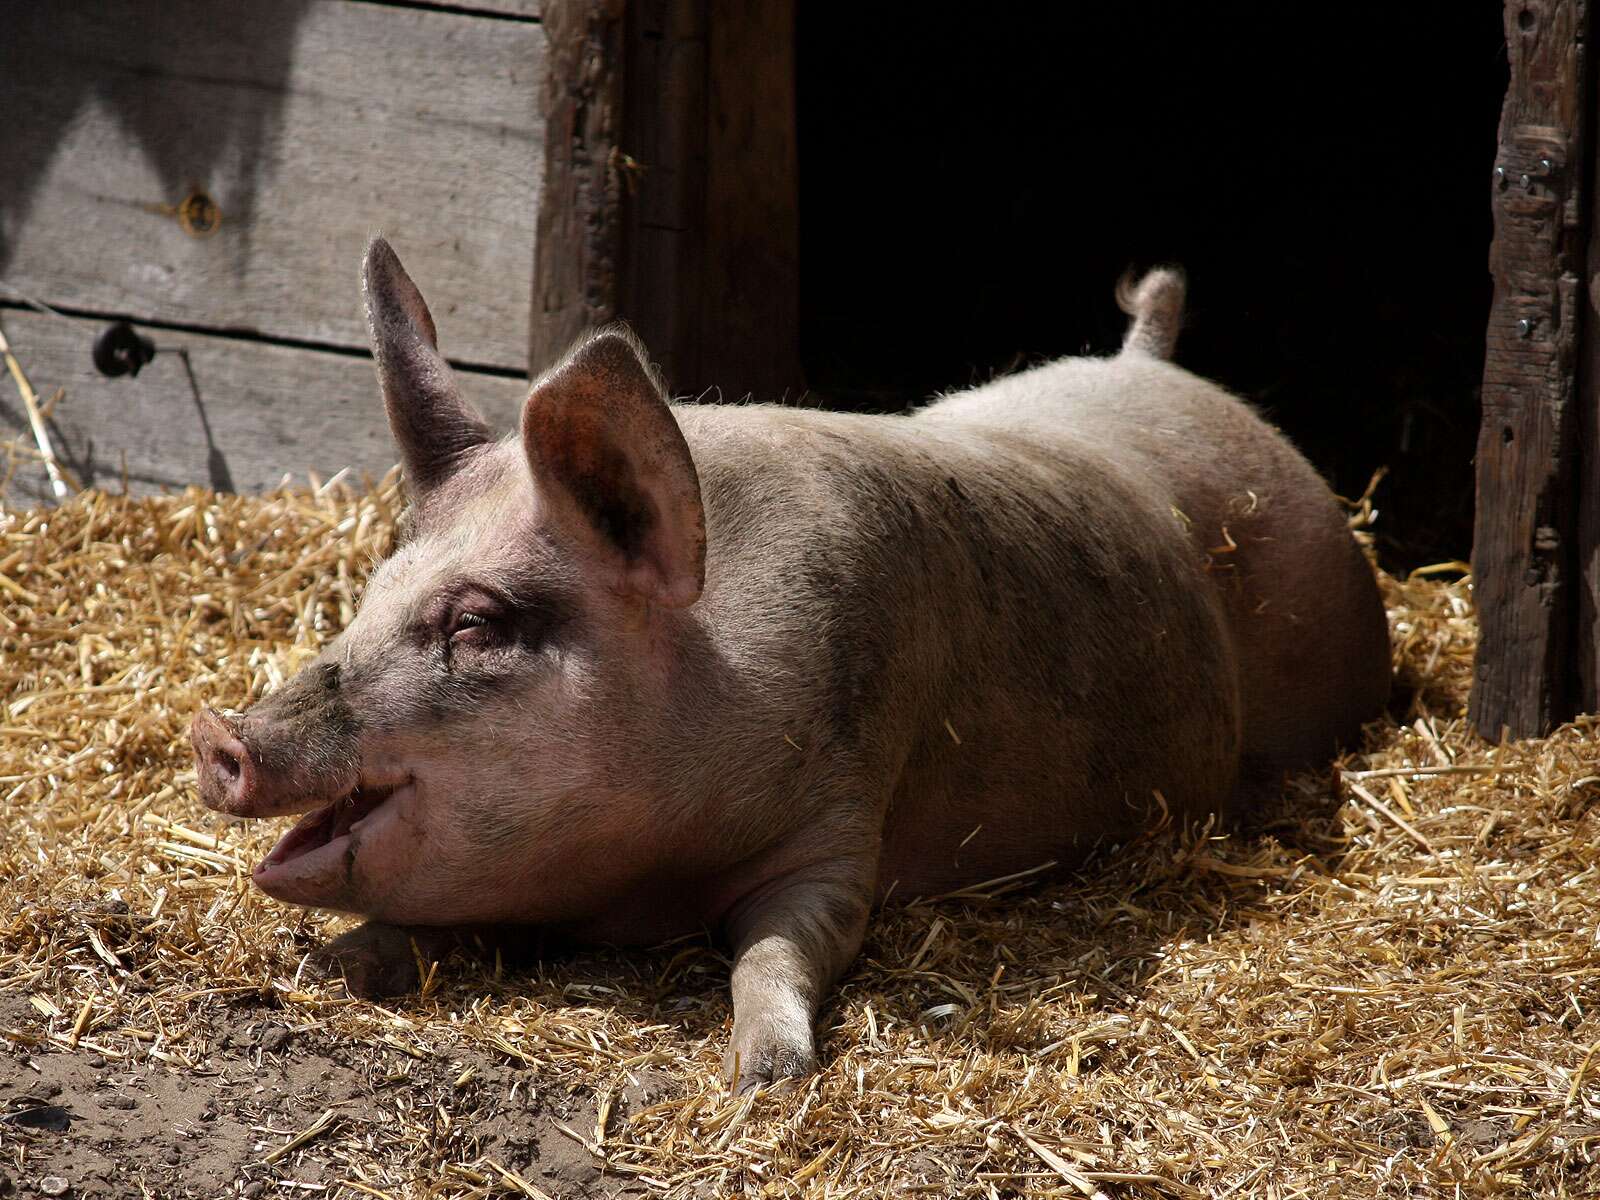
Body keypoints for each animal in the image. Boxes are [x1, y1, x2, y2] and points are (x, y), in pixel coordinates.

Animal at [192, 238, 1390, 1091]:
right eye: (373, 590)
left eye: (479, 623)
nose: (219, 734)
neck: (645, 876)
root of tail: (1153, 358)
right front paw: (317, 966)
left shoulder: (845, 821)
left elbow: (779, 950)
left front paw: (763, 1076)